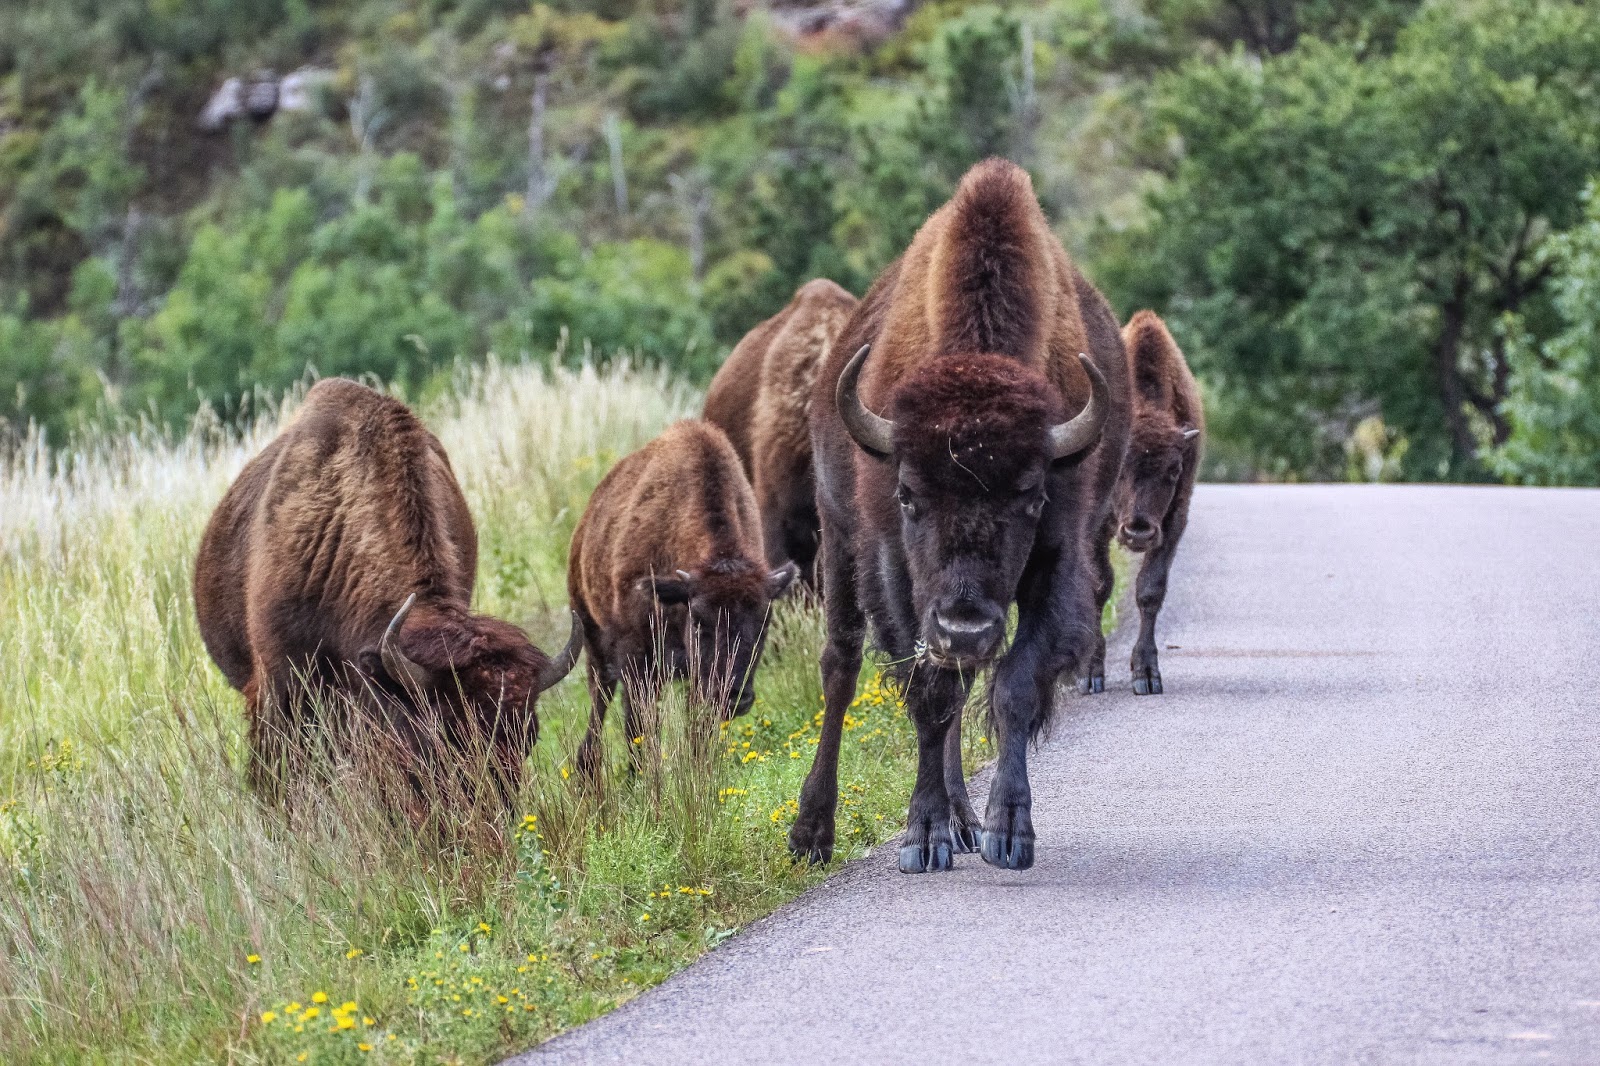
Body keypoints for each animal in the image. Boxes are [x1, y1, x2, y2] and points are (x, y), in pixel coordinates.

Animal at [568, 420, 798, 778]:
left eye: (764, 623)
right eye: (700, 621)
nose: (734, 697)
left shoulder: (695, 678)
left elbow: (696, 730)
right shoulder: (637, 657)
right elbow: (639, 726)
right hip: (594, 643)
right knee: (600, 703)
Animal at [789, 158, 1131, 873]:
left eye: (1032, 497)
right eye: (907, 494)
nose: (964, 626)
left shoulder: (1059, 562)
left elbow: (1011, 688)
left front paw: (1007, 830)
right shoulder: (895, 575)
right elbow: (930, 696)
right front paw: (923, 837)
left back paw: (967, 821)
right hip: (837, 540)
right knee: (841, 666)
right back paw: (813, 832)